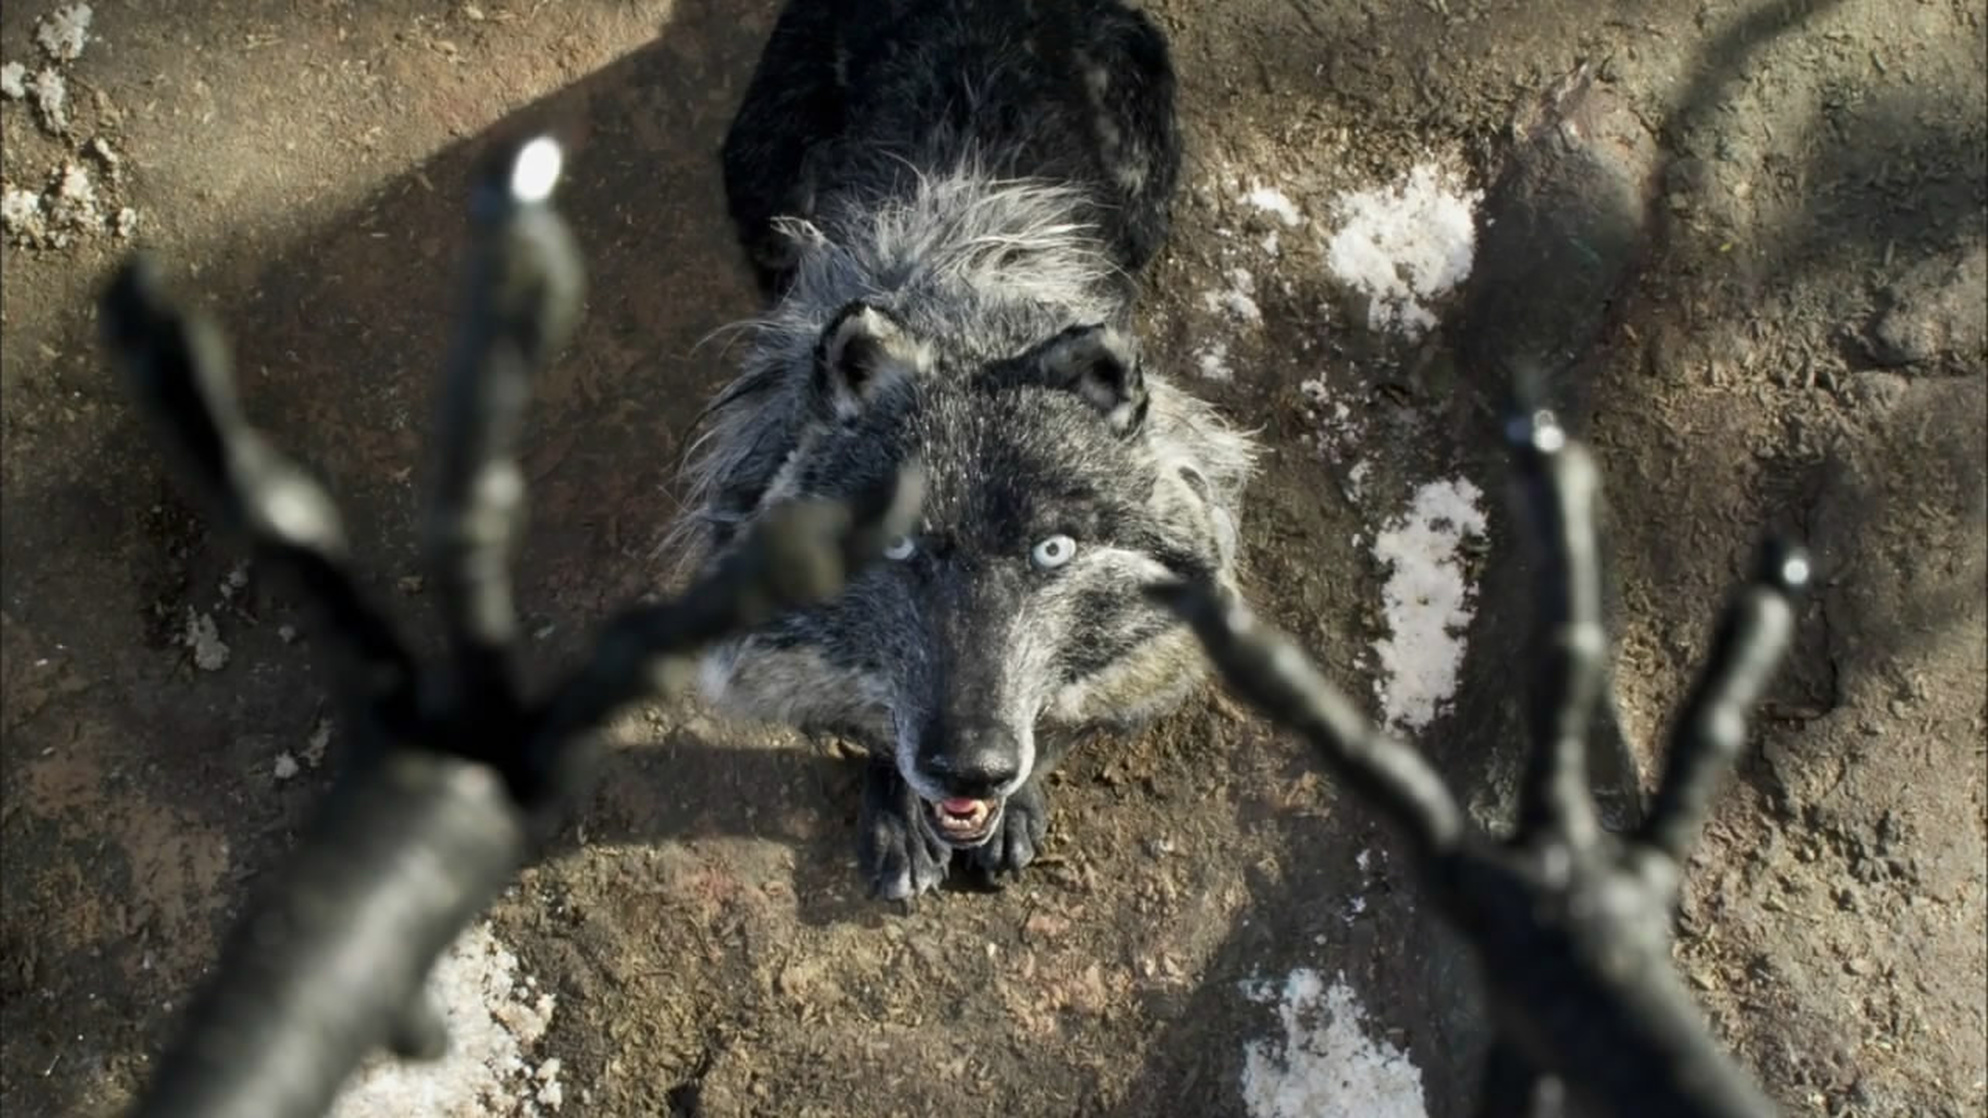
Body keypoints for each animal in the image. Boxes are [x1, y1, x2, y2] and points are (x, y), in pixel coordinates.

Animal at [666, 0, 1258, 900]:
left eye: (1055, 550)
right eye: (891, 544)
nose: (971, 769)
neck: (964, 296)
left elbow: (1056, 726)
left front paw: (1013, 807)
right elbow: (873, 731)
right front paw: (899, 820)